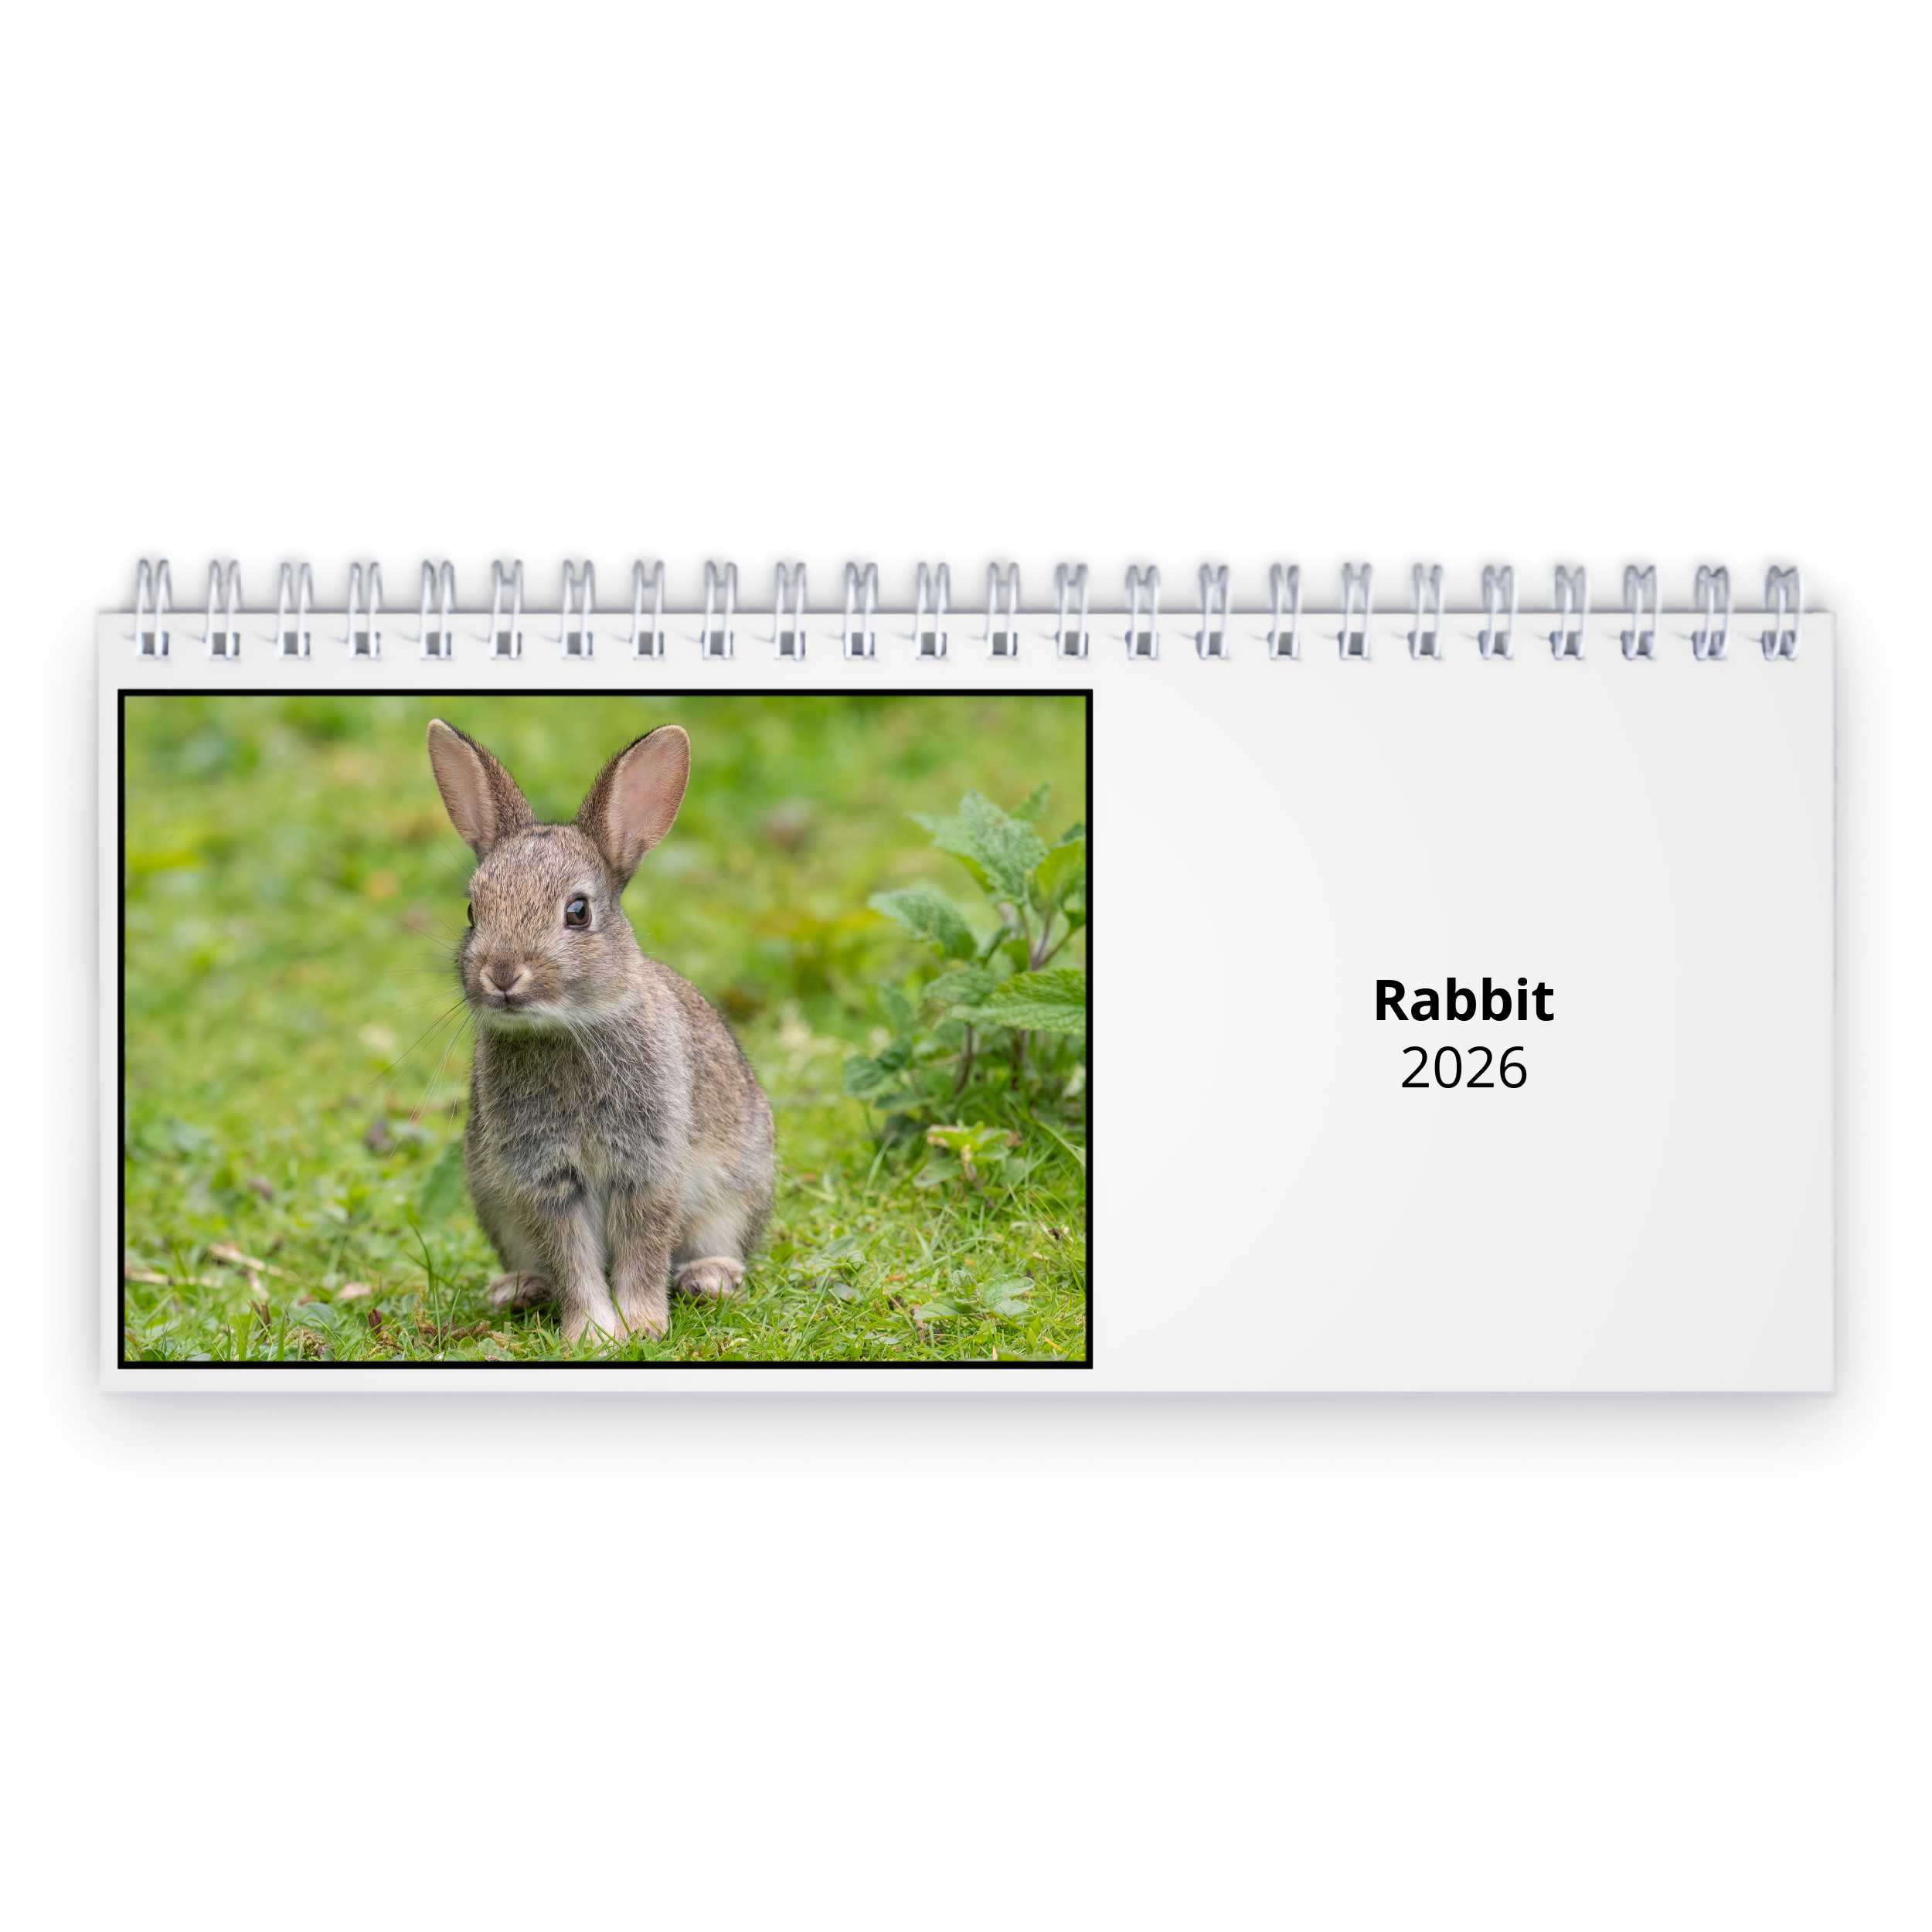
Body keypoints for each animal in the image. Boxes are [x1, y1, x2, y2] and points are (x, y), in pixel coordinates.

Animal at [426, 718, 775, 1345]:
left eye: (578, 911)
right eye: (471, 912)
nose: (502, 974)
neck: (567, 1029)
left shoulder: (647, 1165)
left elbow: (643, 1250)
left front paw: (641, 1326)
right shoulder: (547, 1178)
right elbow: (574, 1261)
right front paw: (591, 1334)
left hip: (738, 1189)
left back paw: (709, 1277)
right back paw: (519, 1289)